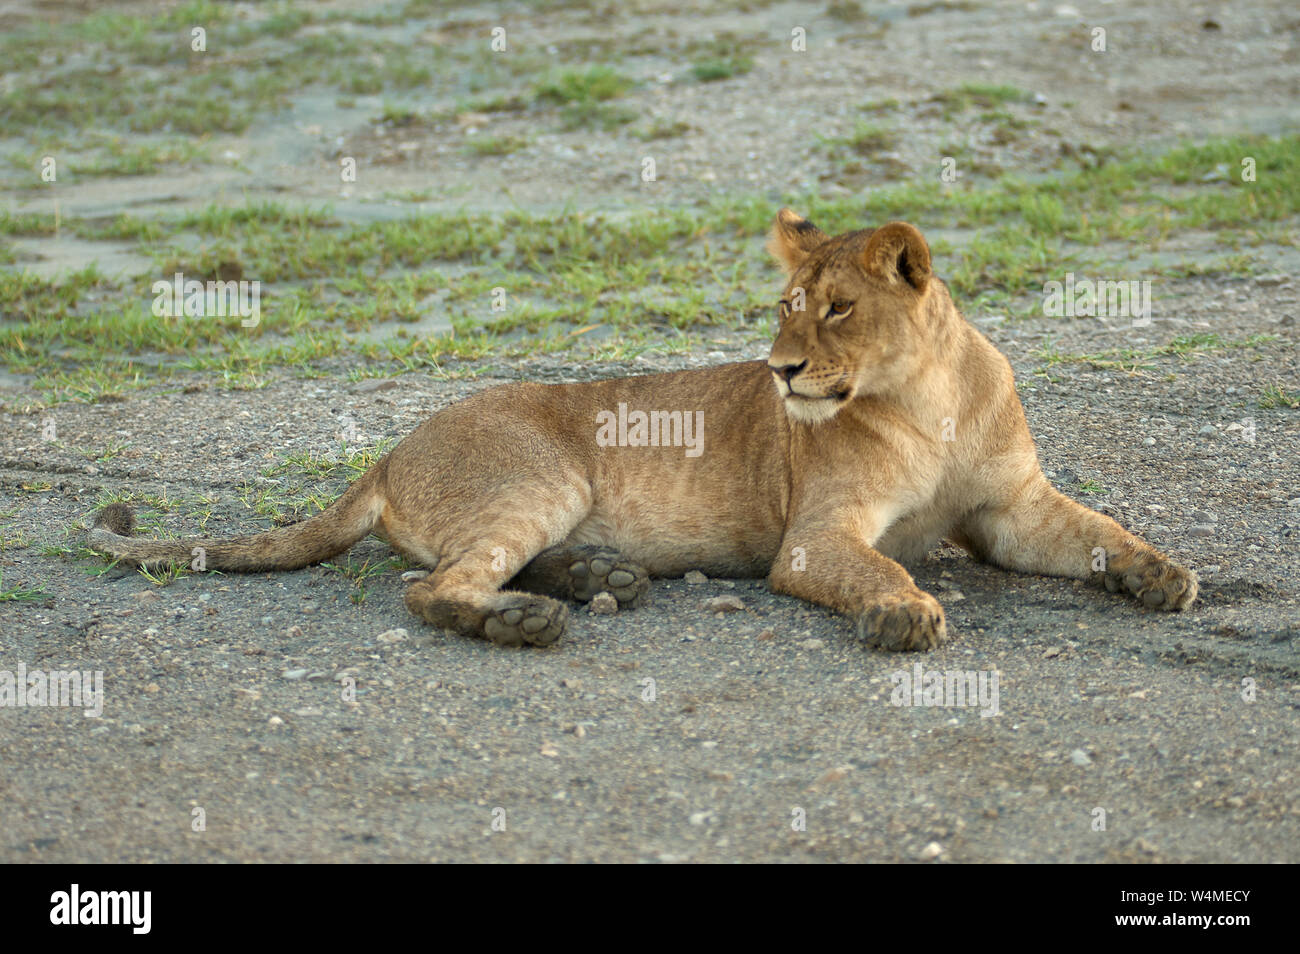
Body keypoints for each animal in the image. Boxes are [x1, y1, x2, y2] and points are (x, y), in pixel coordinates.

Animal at [89, 209, 1198, 650]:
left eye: (837, 309)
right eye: (787, 306)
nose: (780, 370)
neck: (927, 396)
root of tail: (388, 451)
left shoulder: (1012, 511)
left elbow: (1102, 533)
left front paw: (1166, 577)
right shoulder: (815, 539)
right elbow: (880, 565)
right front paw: (901, 613)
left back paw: (600, 576)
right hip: (541, 478)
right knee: (433, 587)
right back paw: (526, 622)